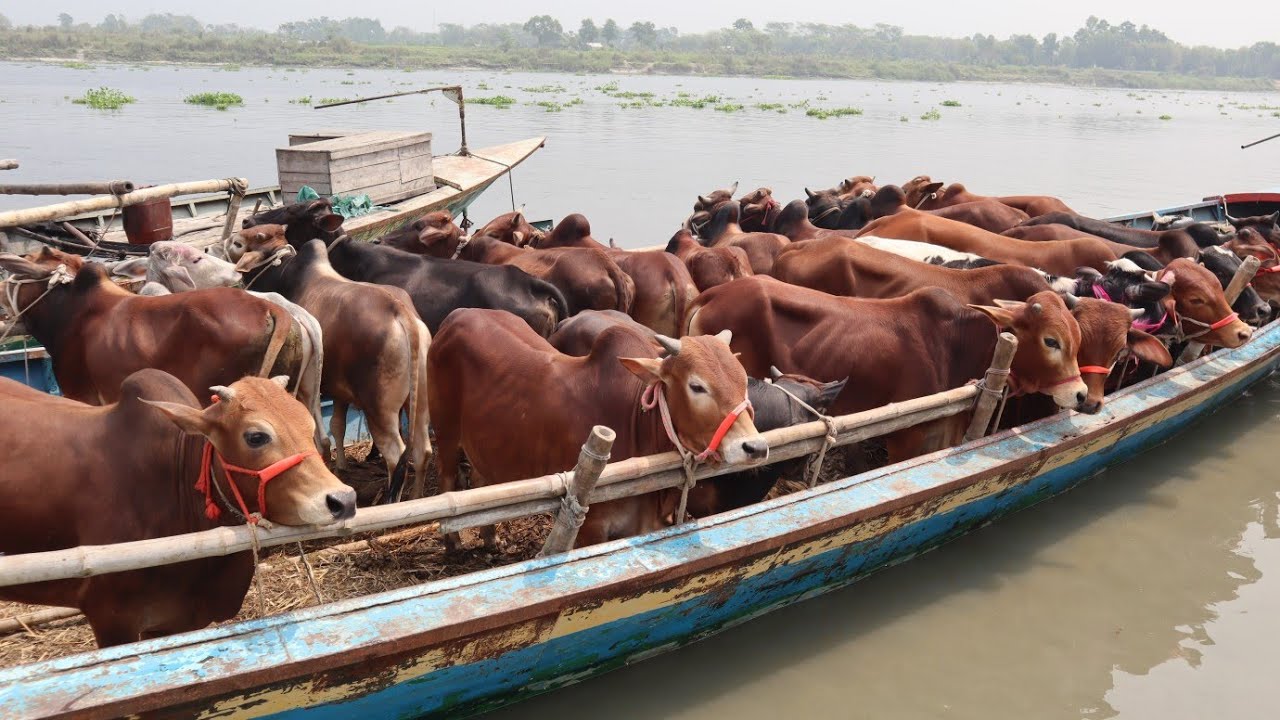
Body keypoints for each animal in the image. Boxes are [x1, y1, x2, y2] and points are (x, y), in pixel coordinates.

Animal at [229, 226, 433, 500]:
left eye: (240, 244)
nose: (226, 241)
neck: (285, 274)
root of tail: (401, 312)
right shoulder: (339, 390)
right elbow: (337, 426)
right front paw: (341, 466)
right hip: (419, 402)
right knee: (422, 450)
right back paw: (417, 497)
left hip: (379, 409)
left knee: (396, 455)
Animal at [428, 308, 769, 550]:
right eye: (696, 386)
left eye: (743, 380)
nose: (755, 447)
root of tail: (456, 316)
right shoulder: (591, 528)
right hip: (445, 431)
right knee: (446, 476)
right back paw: (454, 542)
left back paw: (490, 538)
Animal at [686, 277, 1087, 460]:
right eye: (1051, 341)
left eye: (1078, 335)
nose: (1082, 394)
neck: (955, 343)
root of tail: (713, 294)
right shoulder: (905, 439)